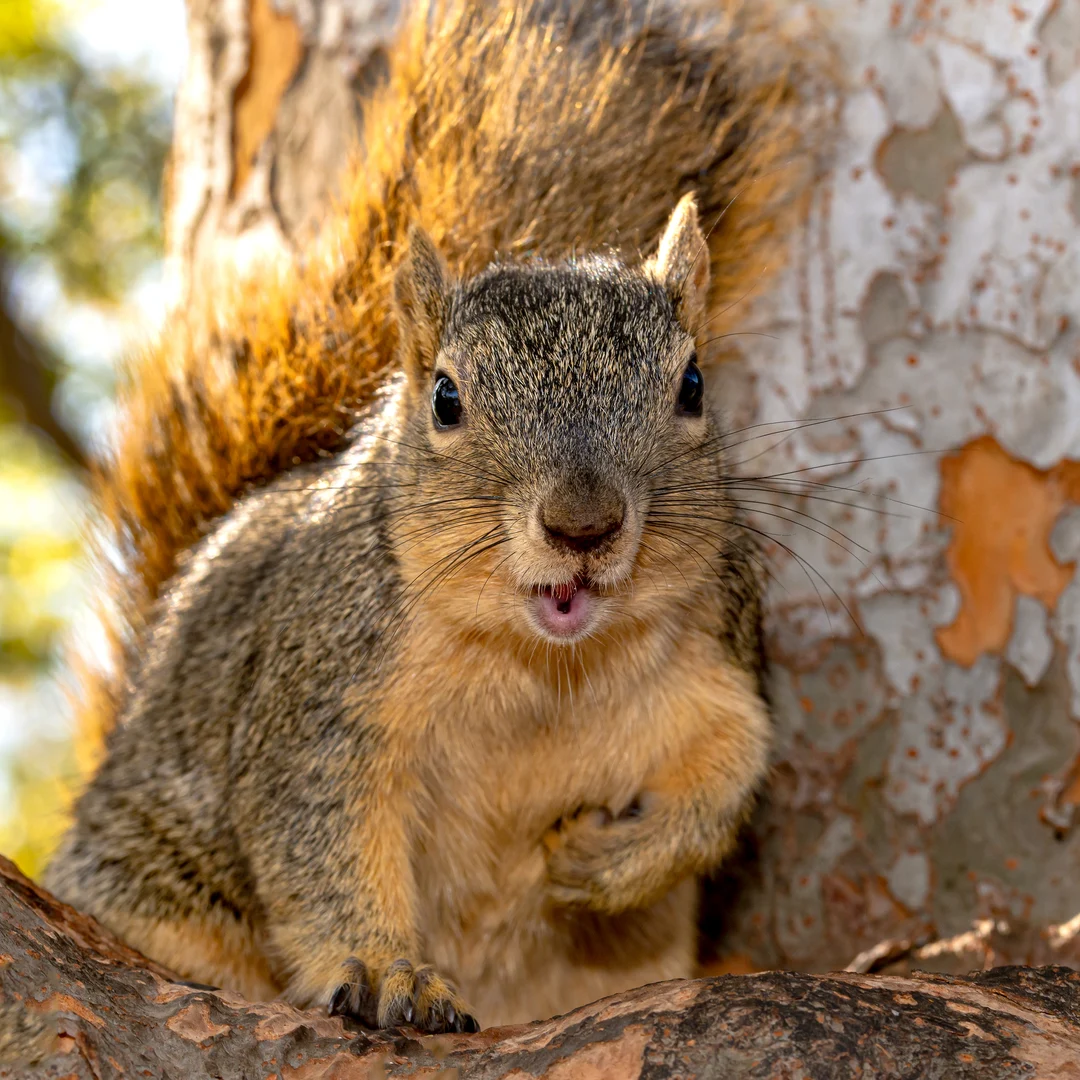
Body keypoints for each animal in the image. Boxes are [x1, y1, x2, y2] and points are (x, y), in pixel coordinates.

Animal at [45, 0, 822, 1033]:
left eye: (693, 386)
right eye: (446, 399)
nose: (583, 525)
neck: (545, 675)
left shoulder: (718, 663)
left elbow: (729, 779)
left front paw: (607, 861)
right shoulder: (322, 704)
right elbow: (321, 845)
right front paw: (386, 970)